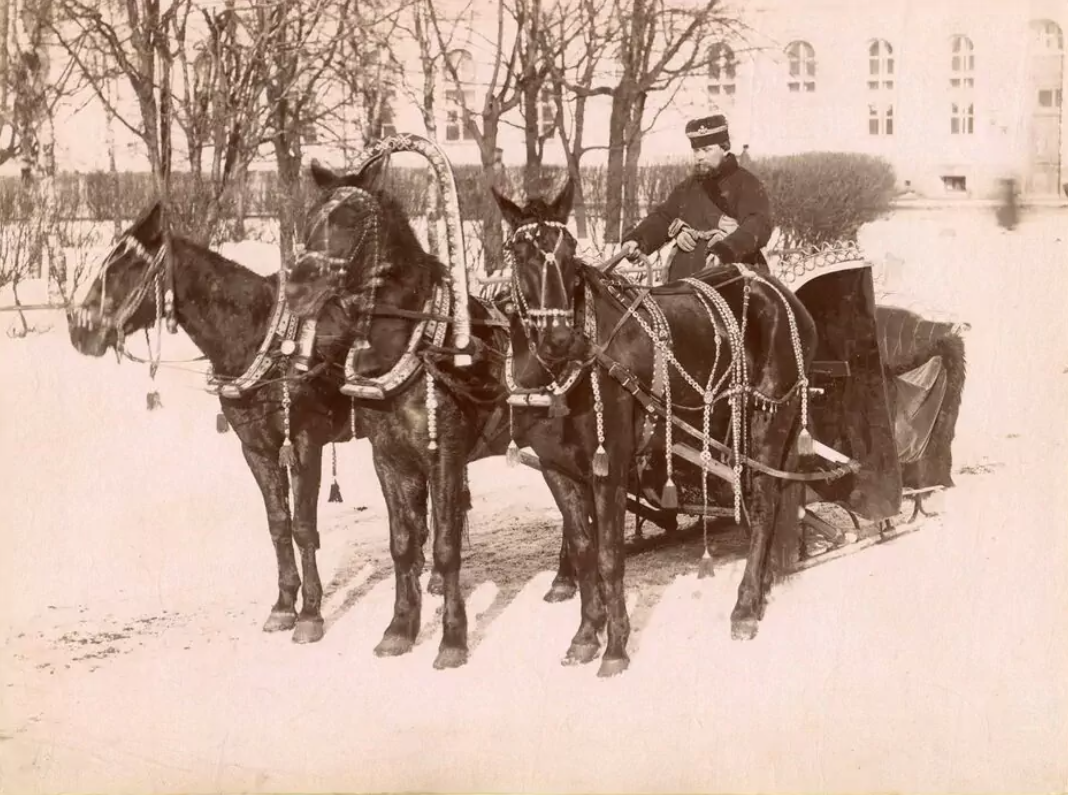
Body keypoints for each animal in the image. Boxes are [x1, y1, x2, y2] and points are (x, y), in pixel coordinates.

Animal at [66, 203, 358, 645]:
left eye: (124, 269)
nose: (79, 331)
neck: (261, 338)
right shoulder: (256, 449)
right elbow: (278, 524)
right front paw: (282, 606)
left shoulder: (305, 444)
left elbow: (304, 527)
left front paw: (310, 613)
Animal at [279, 158, 589, 666]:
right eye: (309, 218)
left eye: (350, 220)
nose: (298, 287)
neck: (416, 343)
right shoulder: (390, 459)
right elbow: (404, 544)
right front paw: (400, 628)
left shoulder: (443, 454)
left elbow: (445, 546)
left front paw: (452, 639)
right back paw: (568, 580)